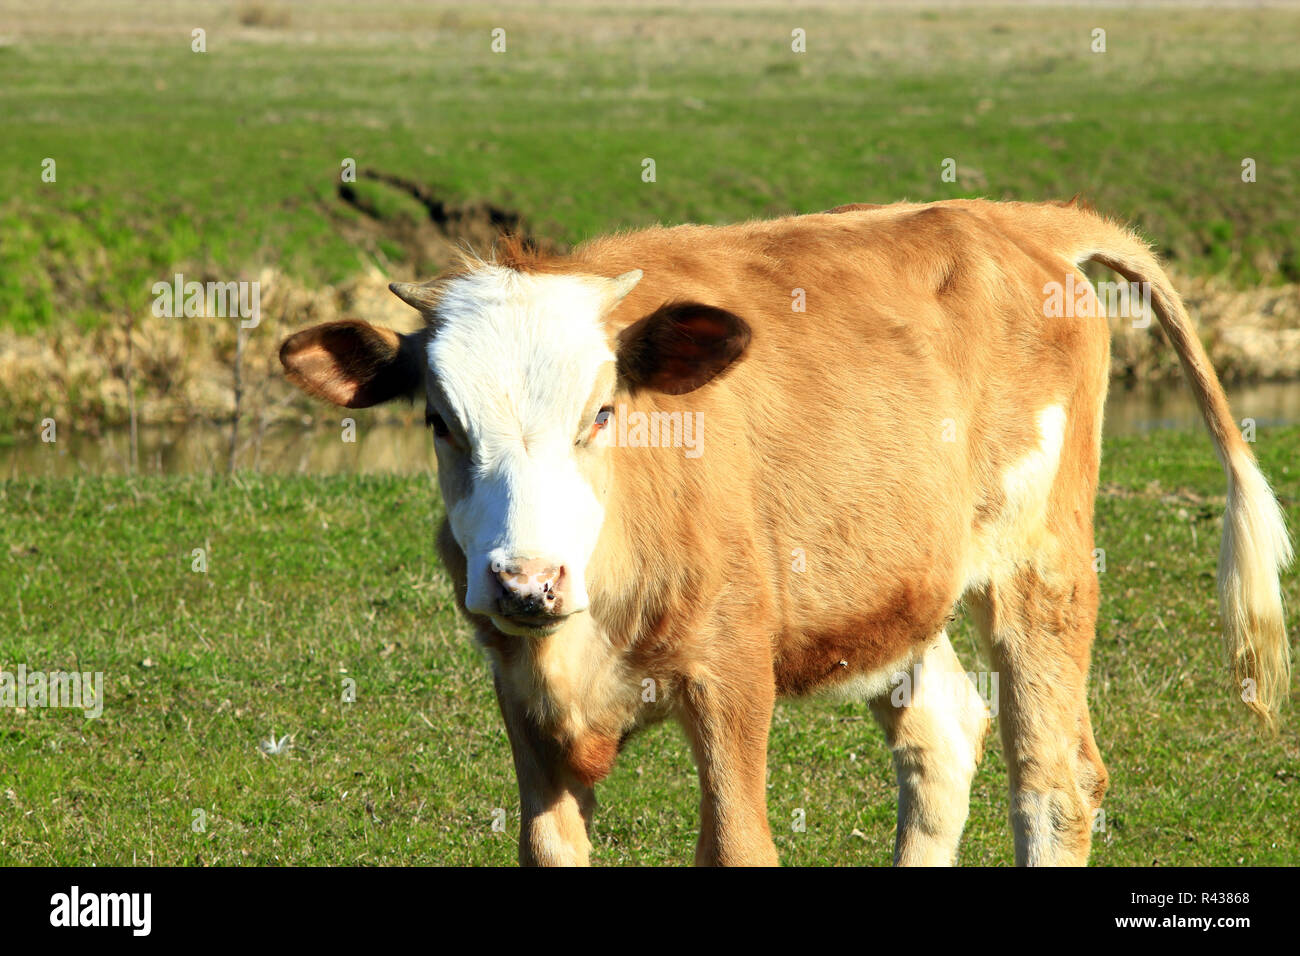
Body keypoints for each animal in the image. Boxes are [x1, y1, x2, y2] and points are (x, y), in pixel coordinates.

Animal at [279, 199, 1292, 866]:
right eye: (439, 422)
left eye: (602, 412)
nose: (529, 580)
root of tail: (1013, 219)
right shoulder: (520, 690)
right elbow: (551, 847)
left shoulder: (732, 668)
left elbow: (738, 845)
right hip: (899, 588)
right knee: (943, 735)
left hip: (1040, 564)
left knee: (1054, 782)